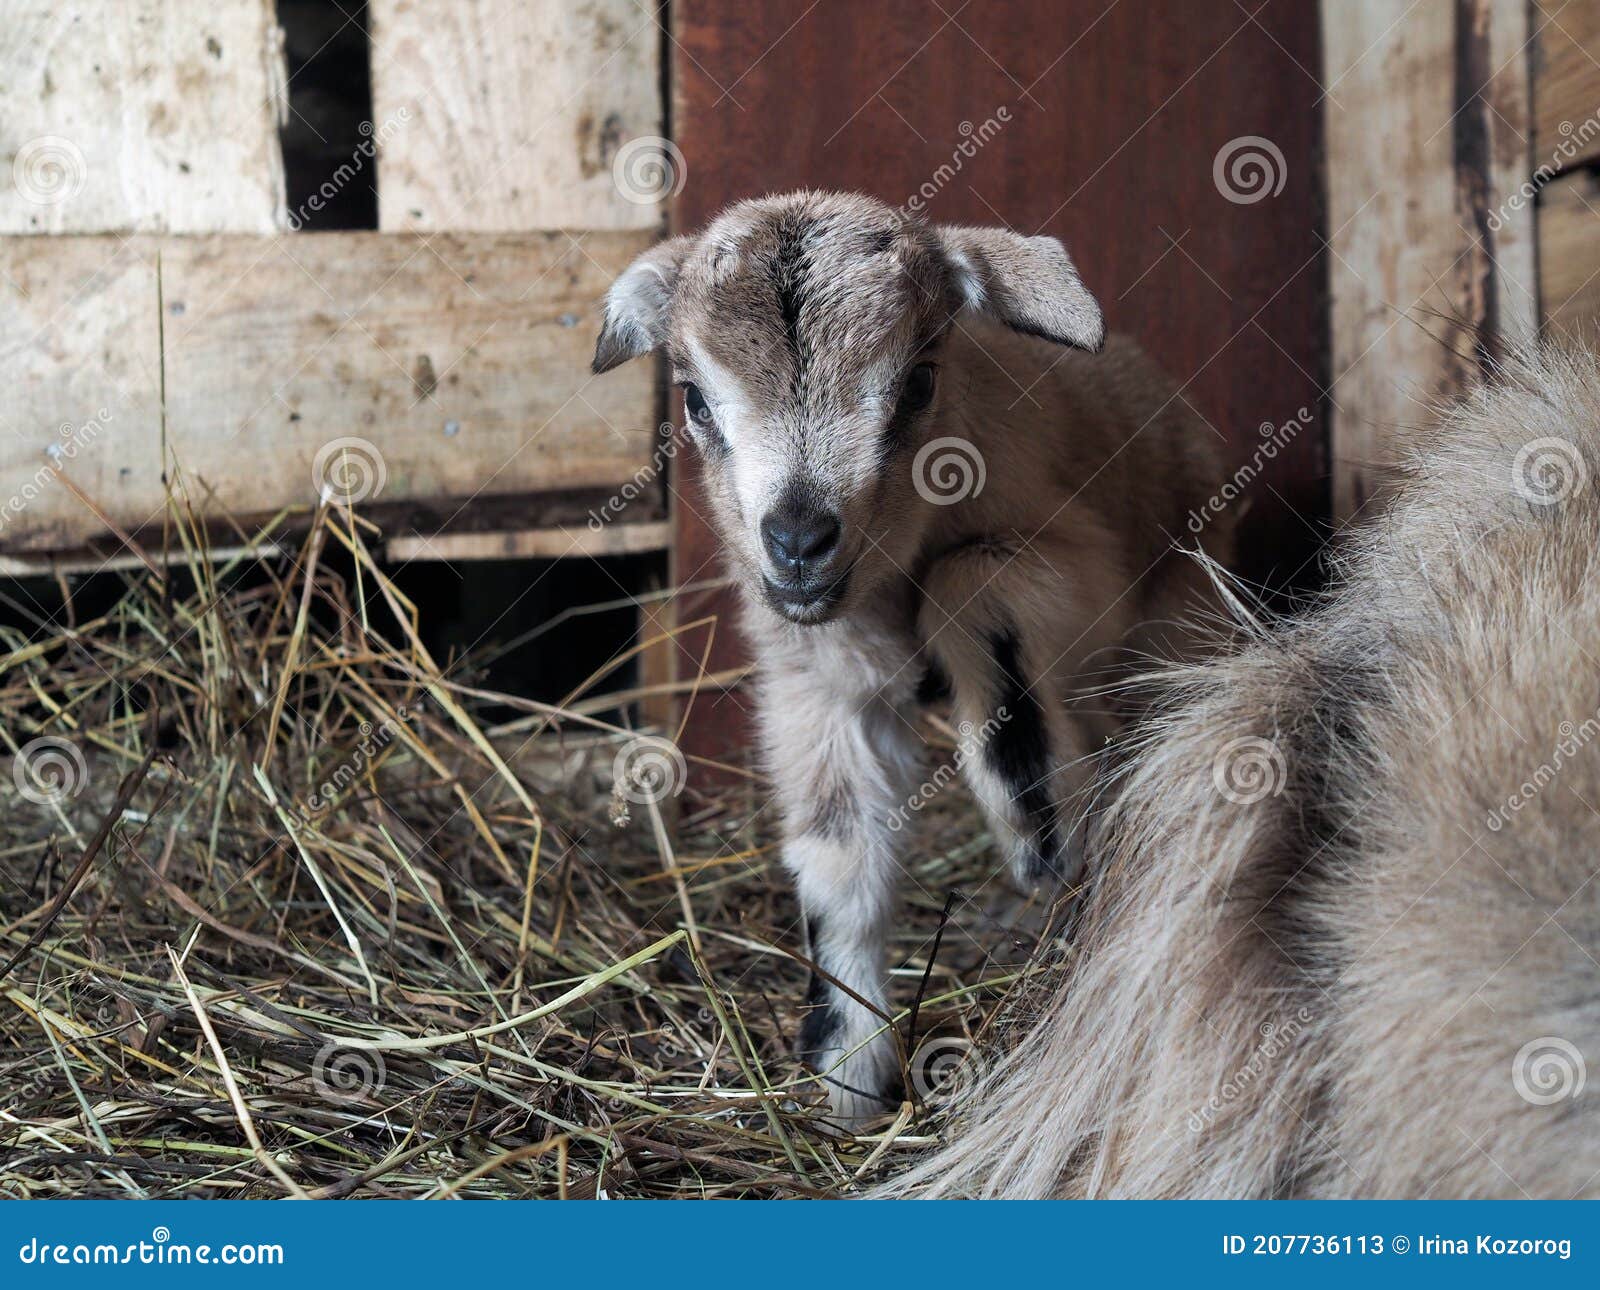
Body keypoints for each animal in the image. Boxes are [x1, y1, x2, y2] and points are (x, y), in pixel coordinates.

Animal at [592, 190, 1233, 1125]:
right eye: (695, 401)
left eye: (920, 382)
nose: (798, 541)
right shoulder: (811, 682)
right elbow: (837, 858)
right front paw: (846, 1074)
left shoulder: (1082, 571)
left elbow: (969, 582)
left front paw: (1033, 826)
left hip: (1180, 610)